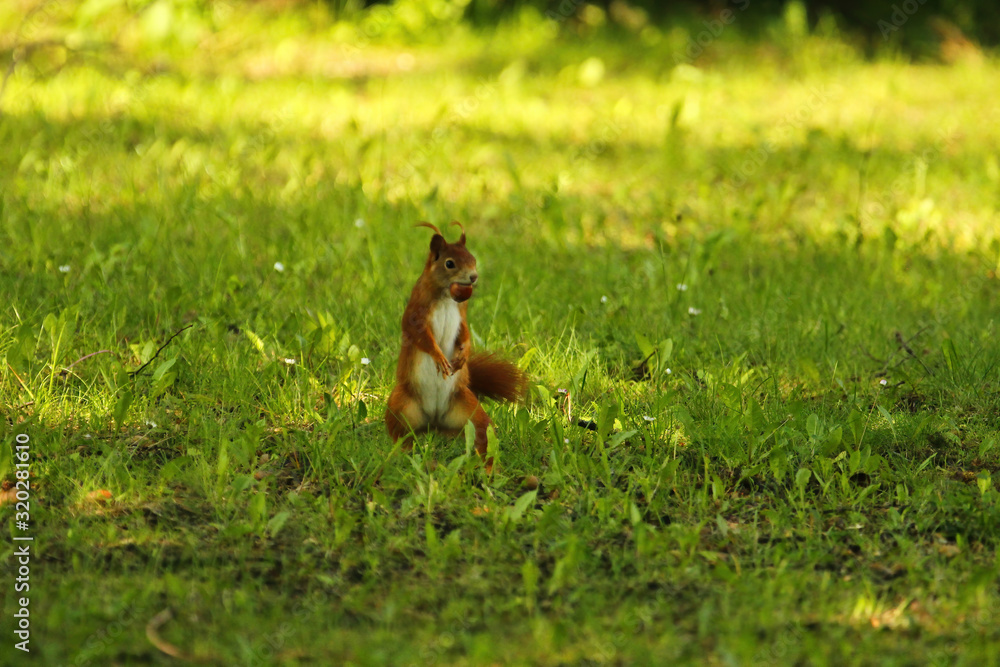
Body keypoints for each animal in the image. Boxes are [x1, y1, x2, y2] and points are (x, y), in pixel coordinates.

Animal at [385, 221, 527, 471]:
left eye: (473, 258)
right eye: (449, 263)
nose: (473, 277)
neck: (446, 296)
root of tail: (433, 423)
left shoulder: (462, 315)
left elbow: (466, 335)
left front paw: (463, 356)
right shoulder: (416, 312)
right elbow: (422, 337)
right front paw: (439, 356)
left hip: (468, 409)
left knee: (482, 434)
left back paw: (489, 467)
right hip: (401, 405)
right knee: (401, 434)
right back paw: (402, 454)